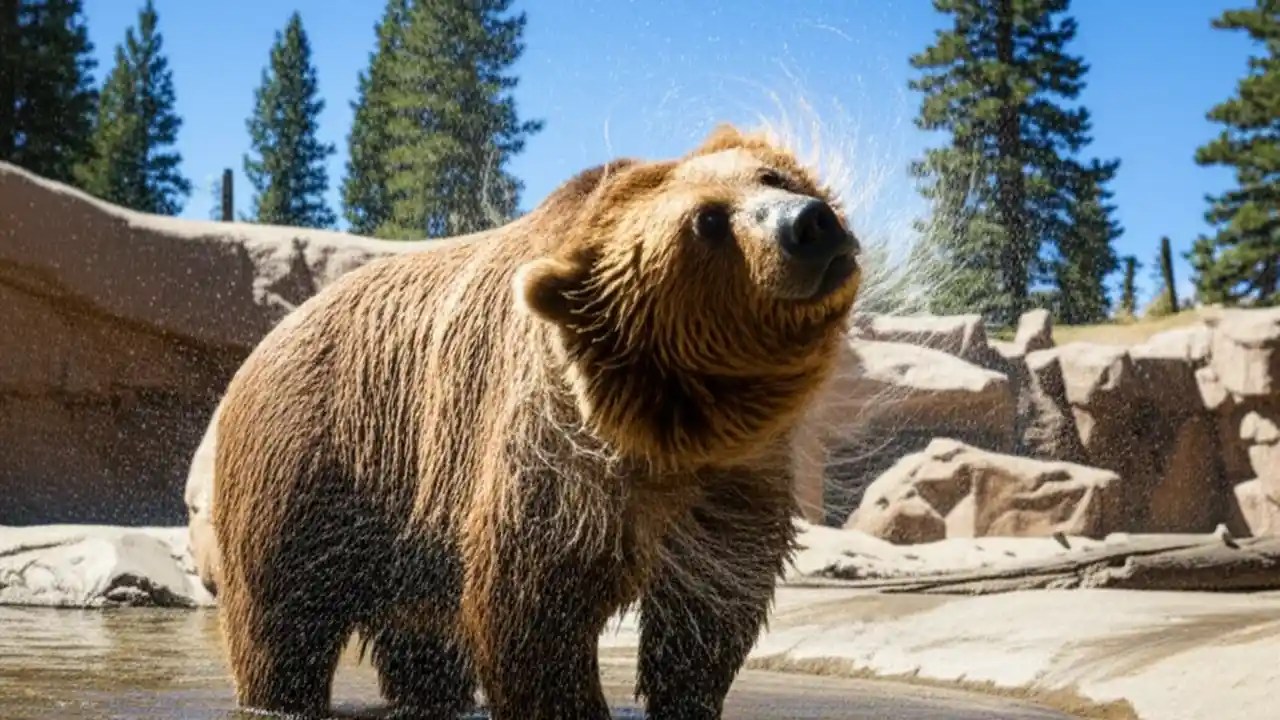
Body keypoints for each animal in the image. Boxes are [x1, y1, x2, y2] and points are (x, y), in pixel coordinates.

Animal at [212, 123, 862, 720]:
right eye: (707, 221)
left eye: (773, 177)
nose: (808, 224)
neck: (664, 428)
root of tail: (262, 346)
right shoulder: (554, 452)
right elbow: (533, 605)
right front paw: (574, 703)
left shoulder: (734, 477)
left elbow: (713, 606)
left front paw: (688, 695)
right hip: (315, 465)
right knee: (284, 620)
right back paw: (280, 695)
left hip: (411, 526)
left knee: (421, 641)